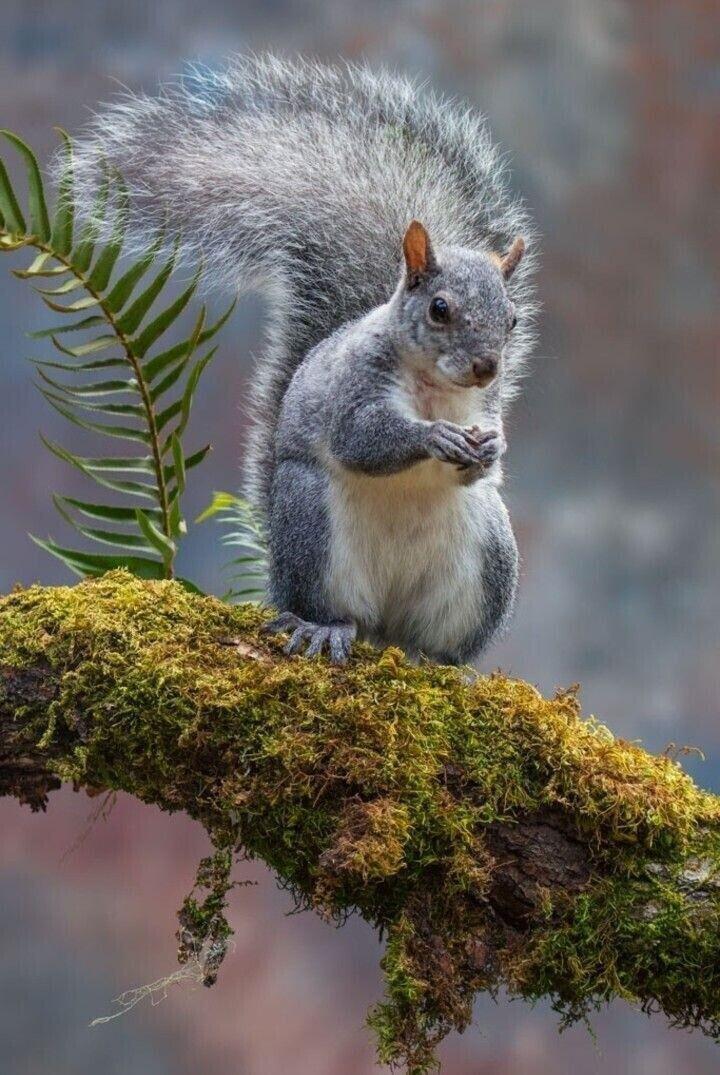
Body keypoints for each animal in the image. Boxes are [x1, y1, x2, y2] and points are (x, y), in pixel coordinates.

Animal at [70, 56, 539, 662]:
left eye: (513, 319)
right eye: (440, 309)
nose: (487, 367)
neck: (437, 388)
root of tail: (384, 625)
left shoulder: (483, 406)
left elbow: (487, 455)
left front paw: (491, 449)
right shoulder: (353, 383)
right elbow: (359, 439)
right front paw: (432, 437)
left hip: (486, 555)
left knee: (434, 640)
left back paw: (436, 660)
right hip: (310, 524)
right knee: (334, 607)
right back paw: (326, 628)